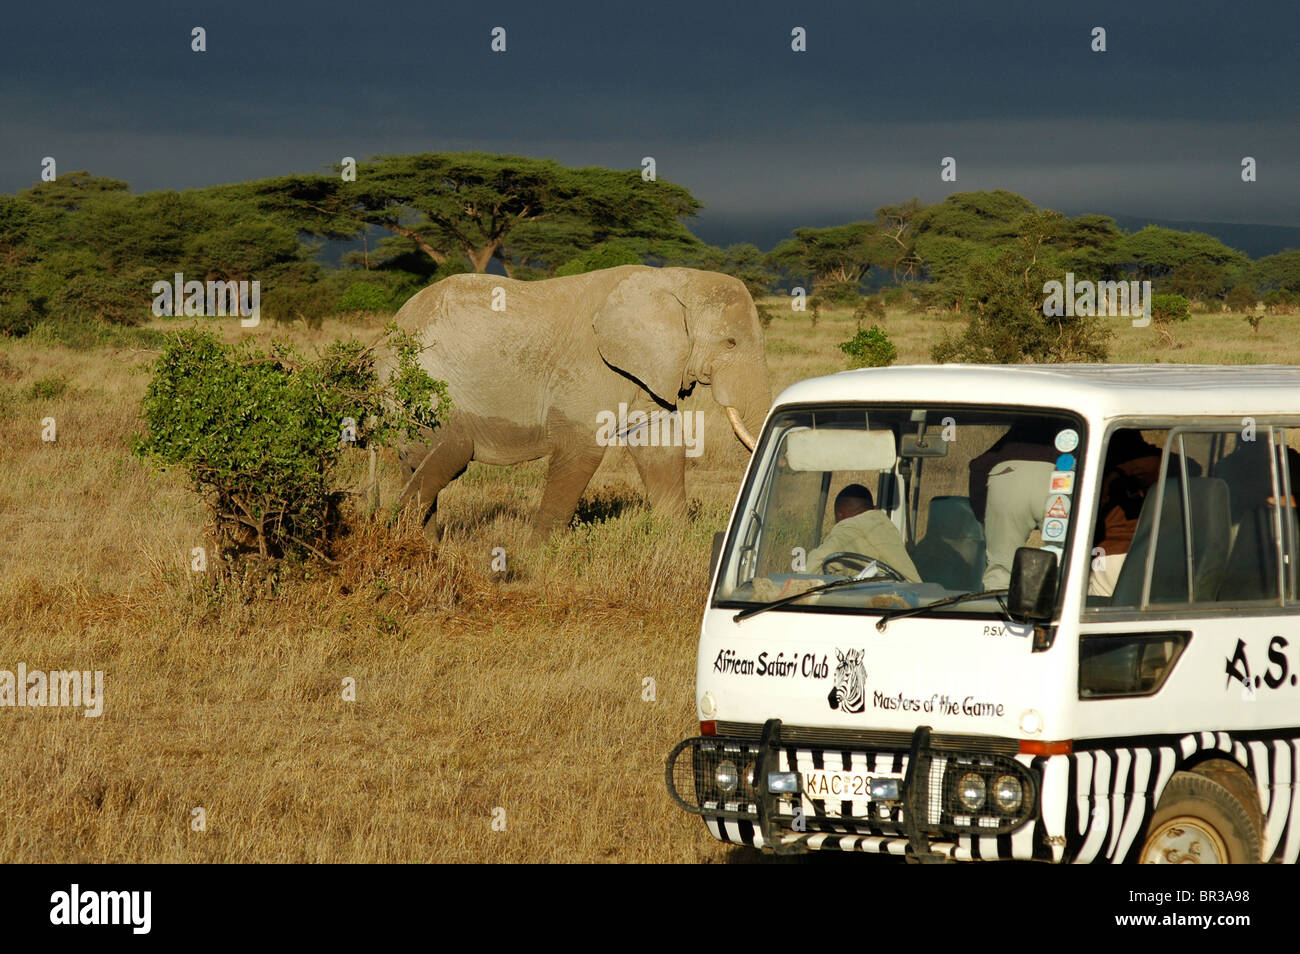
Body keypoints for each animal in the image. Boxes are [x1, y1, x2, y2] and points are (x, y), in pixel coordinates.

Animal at [383, 264, 771, 538]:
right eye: (730, 343)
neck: (675, 279)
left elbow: (659, 445)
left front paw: (675, 538)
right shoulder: (590, 365)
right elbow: (581, 448)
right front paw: (538, 553)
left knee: (418, 460)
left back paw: (421, 546)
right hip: (419, 378)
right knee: (450, 450)